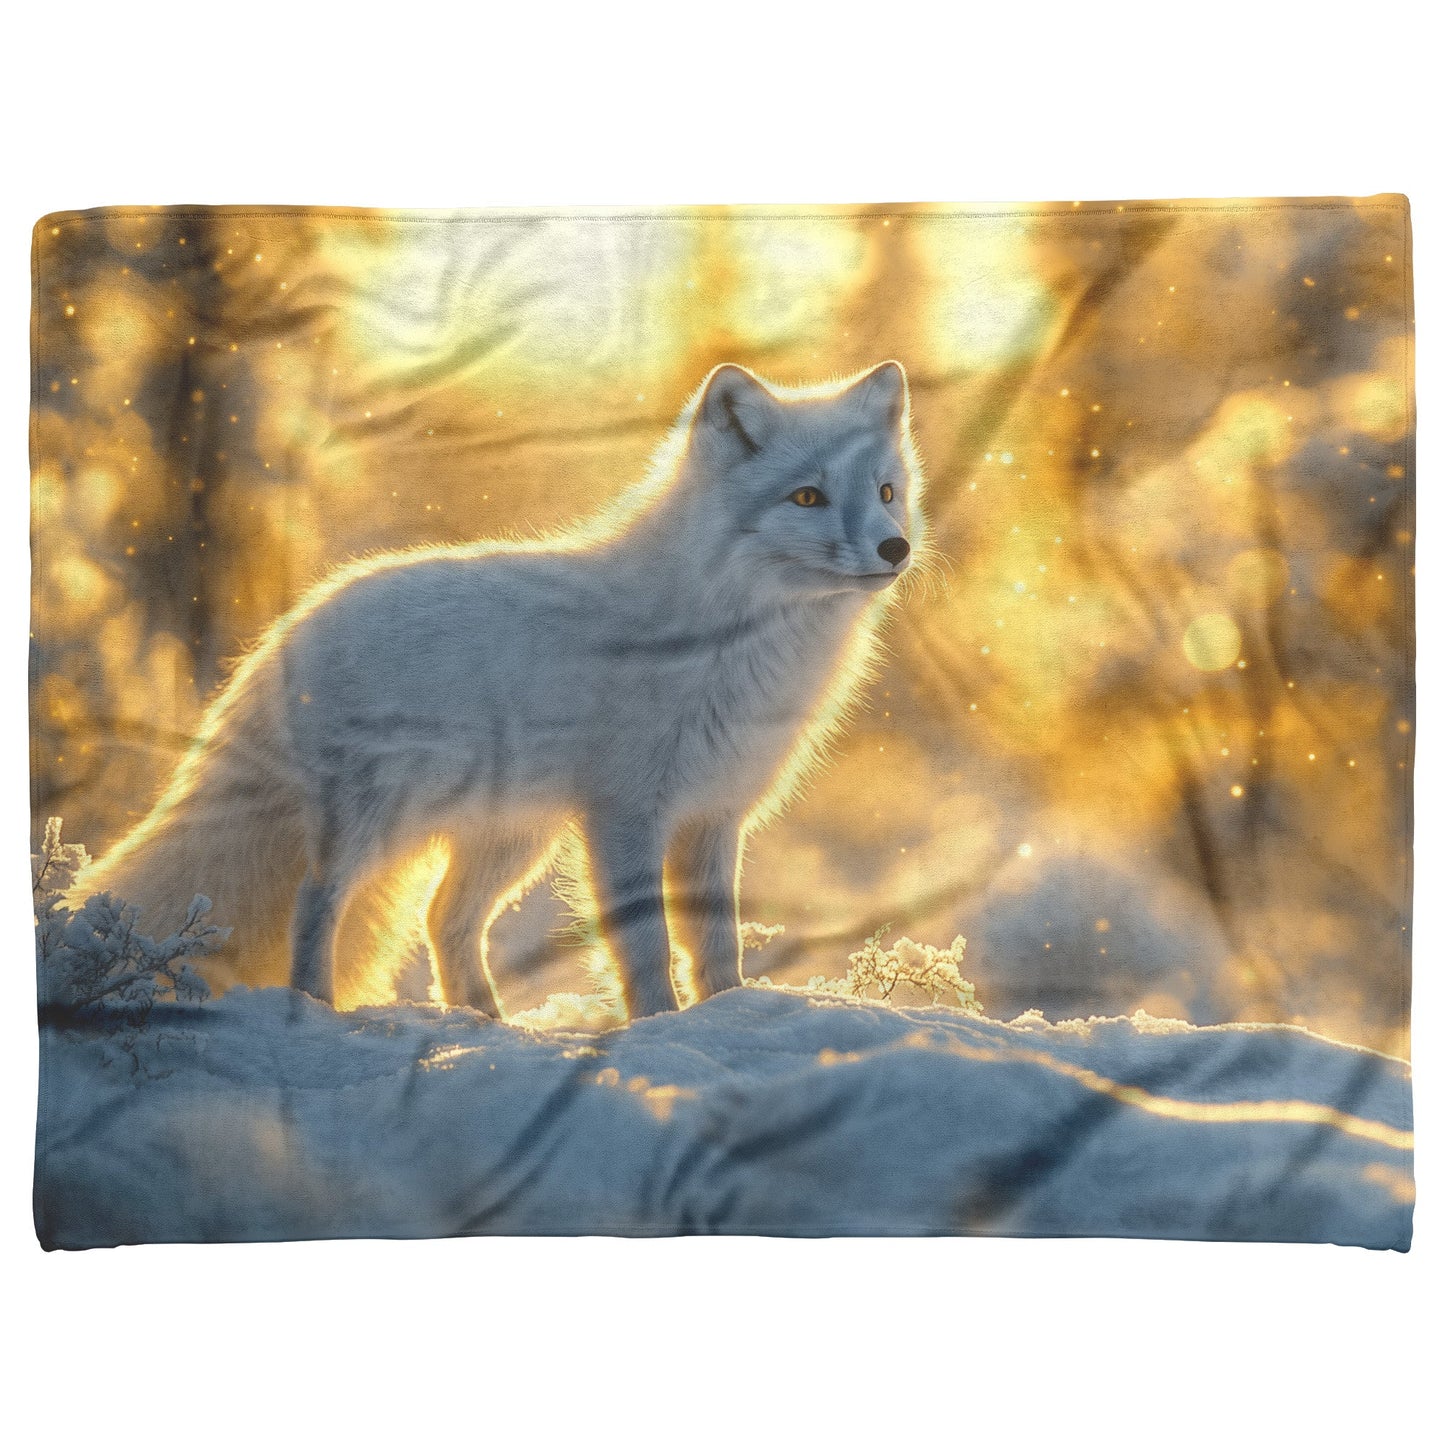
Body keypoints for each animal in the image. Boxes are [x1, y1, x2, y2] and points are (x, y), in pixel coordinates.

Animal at [81, 360, 927, 1019]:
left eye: (885, 491)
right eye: (807, 498)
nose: (895, 549)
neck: (734, 637)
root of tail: (292, 623)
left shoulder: (714, 814)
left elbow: (714, 944)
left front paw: (724, 1021)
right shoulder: (625, 812)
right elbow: (645, 944)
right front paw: (657, 1024)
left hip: (509, 839)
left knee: (442, 919)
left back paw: (486, 1022)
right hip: (375, 831)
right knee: (315, 905)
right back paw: (316, 1009)